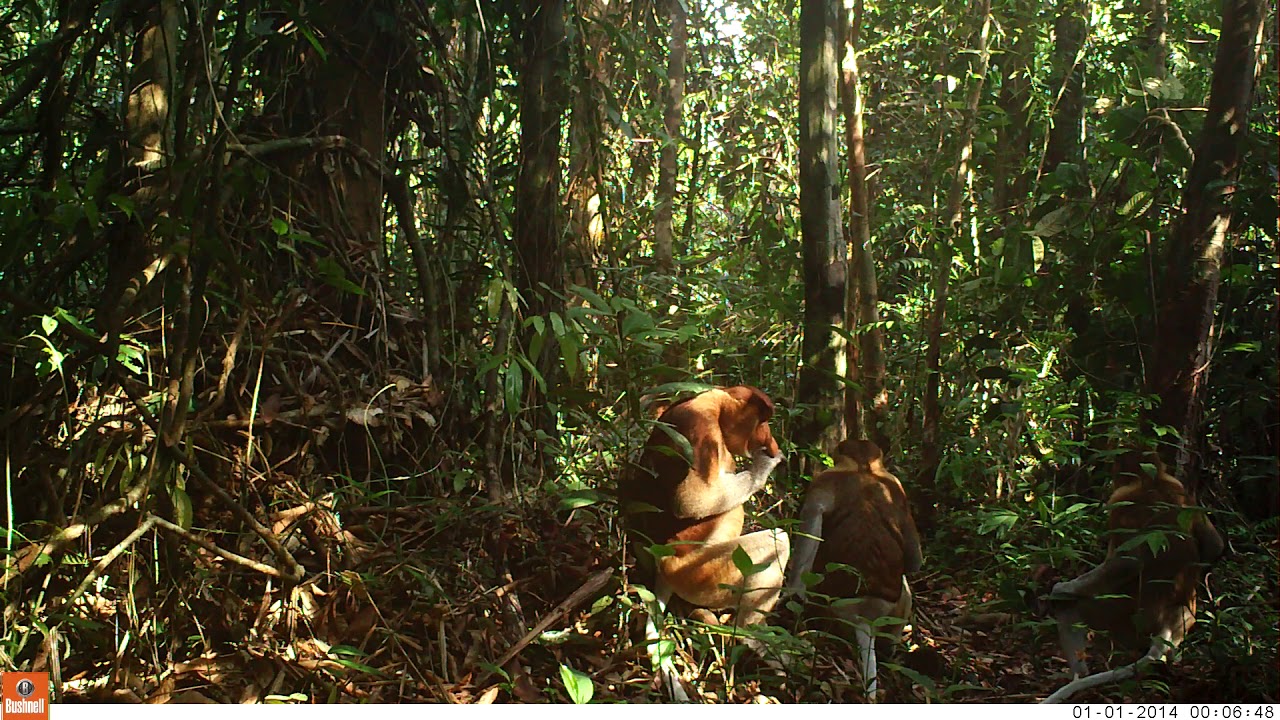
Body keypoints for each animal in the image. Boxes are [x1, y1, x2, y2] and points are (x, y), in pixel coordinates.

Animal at [619, 385, 790, 701]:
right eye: (761, 422)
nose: (770, 442)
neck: (715, 402)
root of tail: (663, 567)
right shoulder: (702, 428)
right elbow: (693, 500)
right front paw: (766, 464)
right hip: (703, 572)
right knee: (778, 540)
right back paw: (752, 637)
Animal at [785, 438, 923, 699]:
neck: (863, 467)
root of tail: (863, 613)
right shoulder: (898, 488)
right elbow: (914, 559)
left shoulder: (822, 482)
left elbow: (809, 532)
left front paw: (792, 591)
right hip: (892, 608)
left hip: (828, 606)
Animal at [1043, 450, 1225, 703]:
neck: (1153, 479)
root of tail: (1169, 622)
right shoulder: (1182, 490)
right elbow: (1214, 545)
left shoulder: (1122, 501)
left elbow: (1126, 563)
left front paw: (1062, 587)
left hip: (1122, 620)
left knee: (1070, 607)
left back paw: (1078, 675)